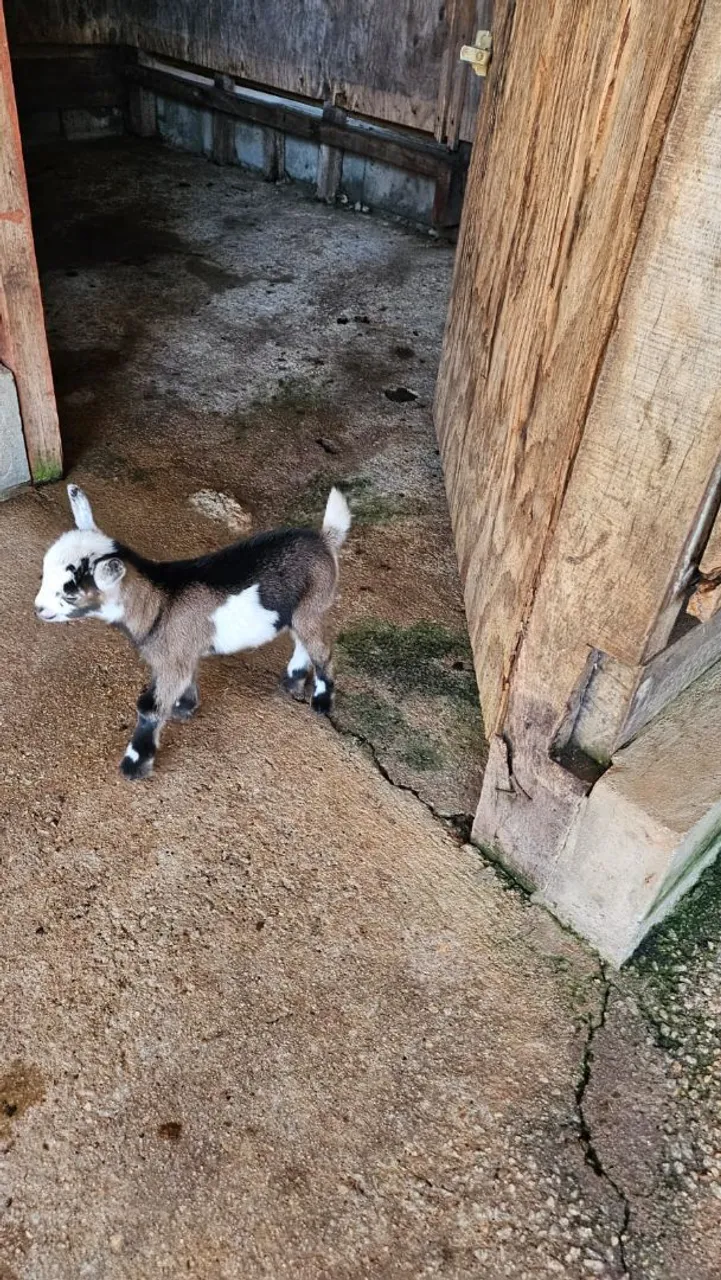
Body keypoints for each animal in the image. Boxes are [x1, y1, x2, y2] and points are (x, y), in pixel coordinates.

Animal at [35, 484, 351, 780]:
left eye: (70, 592)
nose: (38, 608)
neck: (159, 602)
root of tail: (325, 539)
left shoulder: (173, 660)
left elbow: (149, 707)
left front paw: (134, 765)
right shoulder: (181, 654)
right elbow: (186, 680)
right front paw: (184, 707)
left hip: (312, 602)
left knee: (321, 648)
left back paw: (321, 701)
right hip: (298, 610)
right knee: (303, 641)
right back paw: (293, 681)